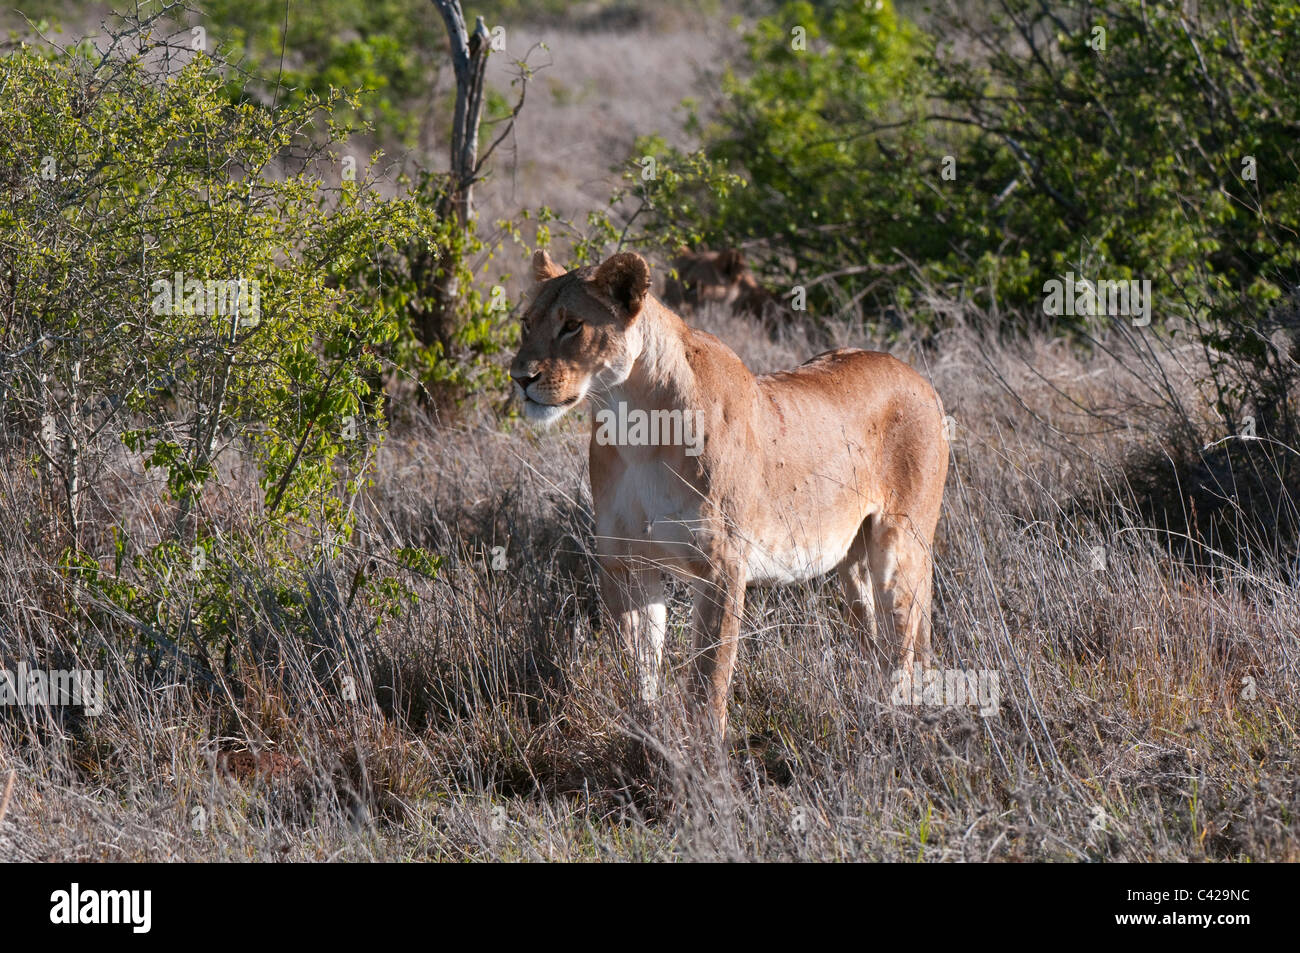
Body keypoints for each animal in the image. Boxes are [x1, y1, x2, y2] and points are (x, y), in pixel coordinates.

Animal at [512, 249, 948, 744]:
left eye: (572, 325)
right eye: (526, 323)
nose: (519, 377)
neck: (631, 420)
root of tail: (916, 375)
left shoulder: (722, 565)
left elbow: (709, 675)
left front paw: (706, 750)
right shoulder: (626, 562)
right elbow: (637, 666)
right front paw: (643, 733)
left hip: (900, 545)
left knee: (904, 642)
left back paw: (895, 716)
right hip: (851, 560)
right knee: (870, 636)